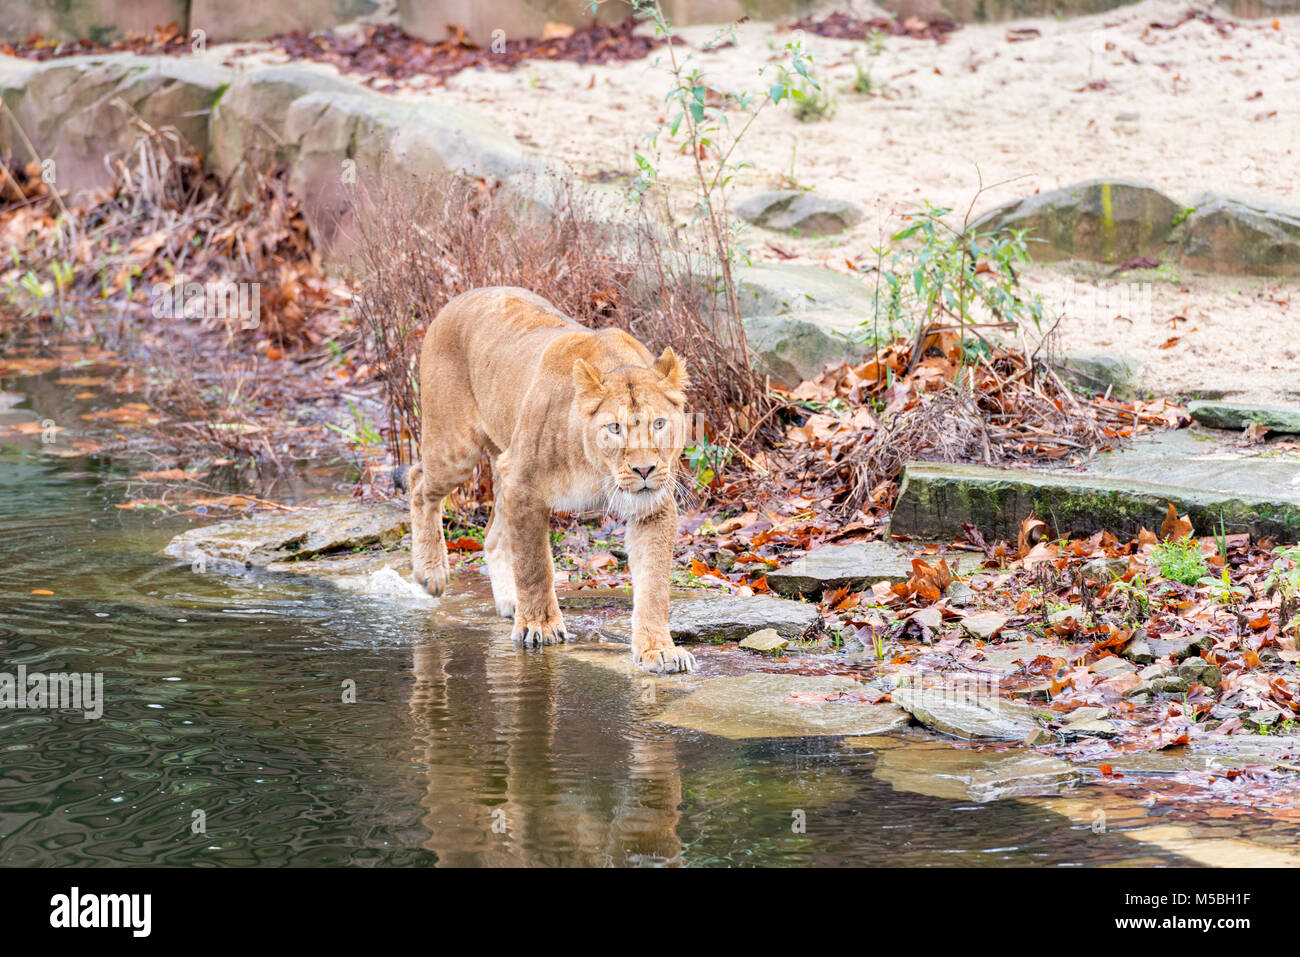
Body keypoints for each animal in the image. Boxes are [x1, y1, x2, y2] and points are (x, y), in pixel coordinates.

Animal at [404, 287, 696, 674]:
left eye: (659, 424)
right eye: (614, 428)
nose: (644, 470)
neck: (598, 469)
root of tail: (460, 298)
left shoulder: (653, 507)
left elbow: (654, 585)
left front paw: (658, 650)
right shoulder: (524, 485)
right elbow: (534, 564)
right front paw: (539, 626)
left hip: (500, 457)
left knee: (493, 534)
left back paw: (510, 602)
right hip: (456, 448)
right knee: (418, 481)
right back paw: (431, 573)